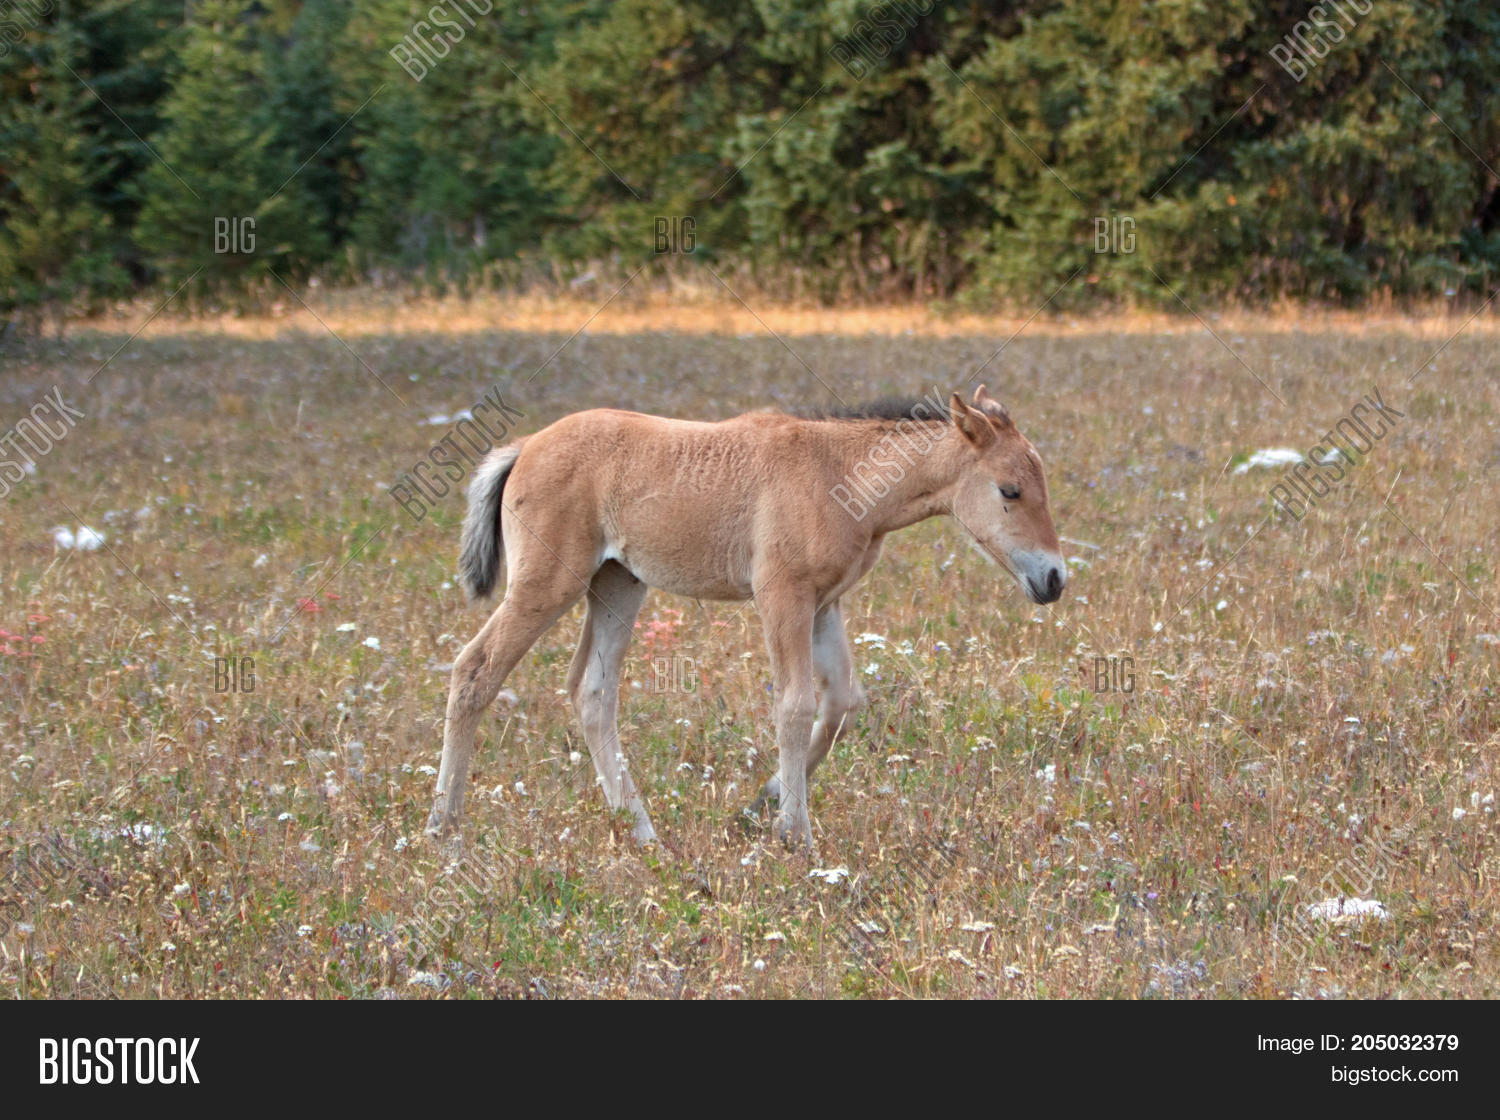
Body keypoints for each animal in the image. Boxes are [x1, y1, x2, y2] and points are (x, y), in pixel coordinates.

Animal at [425, 384, 1067, 850]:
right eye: (1009, 490)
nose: (1054, 579)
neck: (838, 474)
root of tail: (524, 446)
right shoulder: (782, 594)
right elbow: (795, 706)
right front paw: (795, 835)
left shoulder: (824, 603)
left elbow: (842, 703)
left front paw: (759, 807)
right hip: (547, 583)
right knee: (475, 670)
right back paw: (444, 828)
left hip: (617, 585)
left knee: (592, 692)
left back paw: (643, 832)